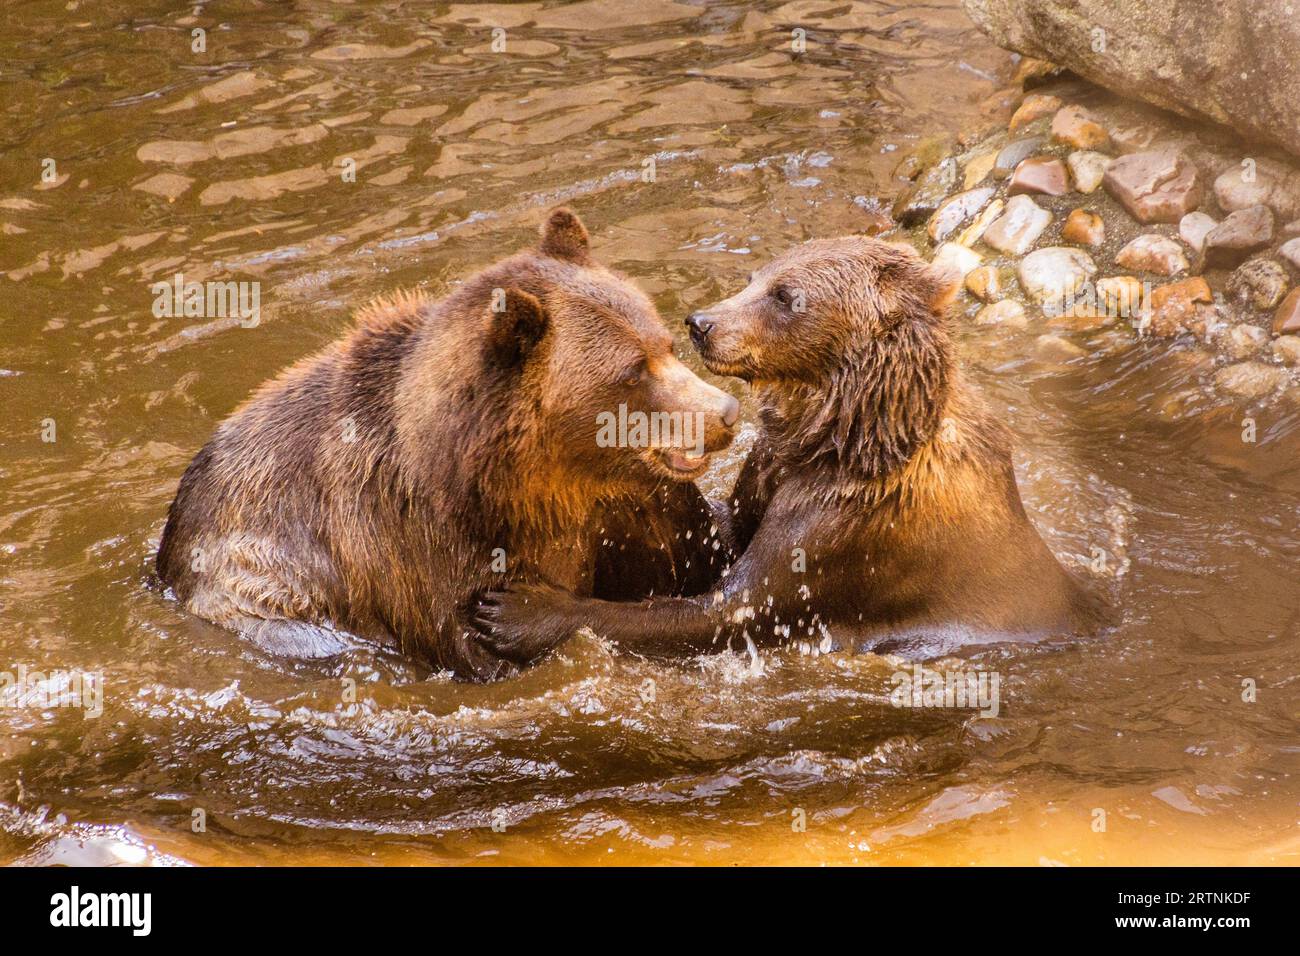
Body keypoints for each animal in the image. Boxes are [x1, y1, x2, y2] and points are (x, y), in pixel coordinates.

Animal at [155, 207, 740, 681]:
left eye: (663, 345)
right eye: (633, 370)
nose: (724, 412)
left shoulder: (627, 508)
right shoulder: (418, 548)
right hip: (259, 587)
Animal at [473, 235, 1106, 663]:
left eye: (786, 296)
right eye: (758, 277)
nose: (702, 322)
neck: (843, 439)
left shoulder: (848, 527)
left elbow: (729, 610)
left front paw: (519, 610)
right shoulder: (778, 472)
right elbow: (726, 532)